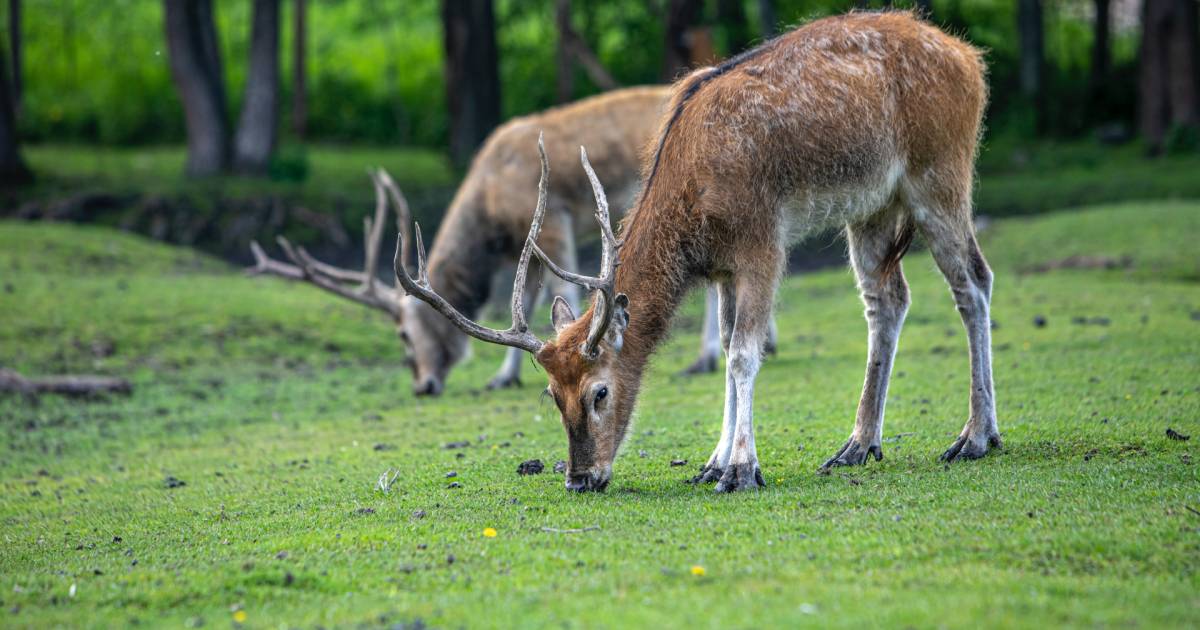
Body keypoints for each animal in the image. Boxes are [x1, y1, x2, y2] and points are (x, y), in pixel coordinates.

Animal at [249, 86, 776, 396]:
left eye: (402, 334)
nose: (422, 385)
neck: (491, 211)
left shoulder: (553, 221)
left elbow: (561, 292)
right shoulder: (527, 246)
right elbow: (525, 298)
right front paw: (503, 375)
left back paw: (704, 358)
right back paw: (766, 340)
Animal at [397, 10, 996, 493]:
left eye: (599, 392)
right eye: (551, 396)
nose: (580, 479)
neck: (694, 205)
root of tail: (970, 58)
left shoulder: (761, 244)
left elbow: (744, 353)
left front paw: (741, 471)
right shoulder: (723, 266)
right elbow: (728, 345)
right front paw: (712, 462)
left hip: (941, 173)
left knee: (974, 281)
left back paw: (976, 436)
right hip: (872, 207)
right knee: (887, 300)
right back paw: (858, 445)